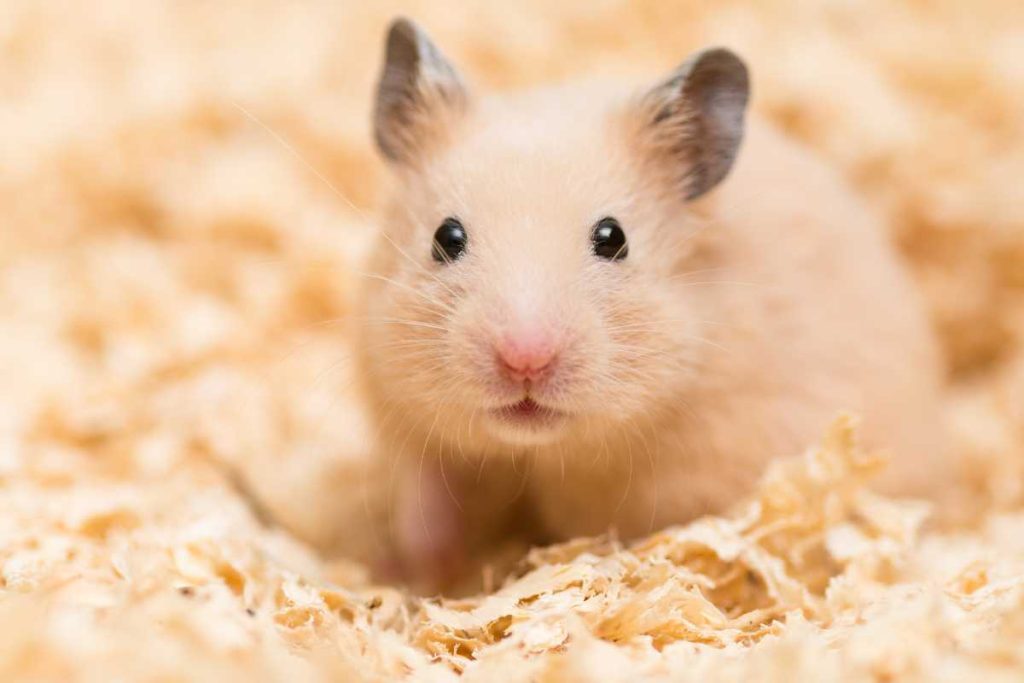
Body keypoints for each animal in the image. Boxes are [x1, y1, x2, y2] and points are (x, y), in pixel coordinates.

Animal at [354, 18, 947, 588]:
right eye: (446, 237)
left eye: (613, 238)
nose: (525, 360)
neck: (542, 451)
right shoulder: (402, 415)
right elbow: (426, 503)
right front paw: (408, 575)